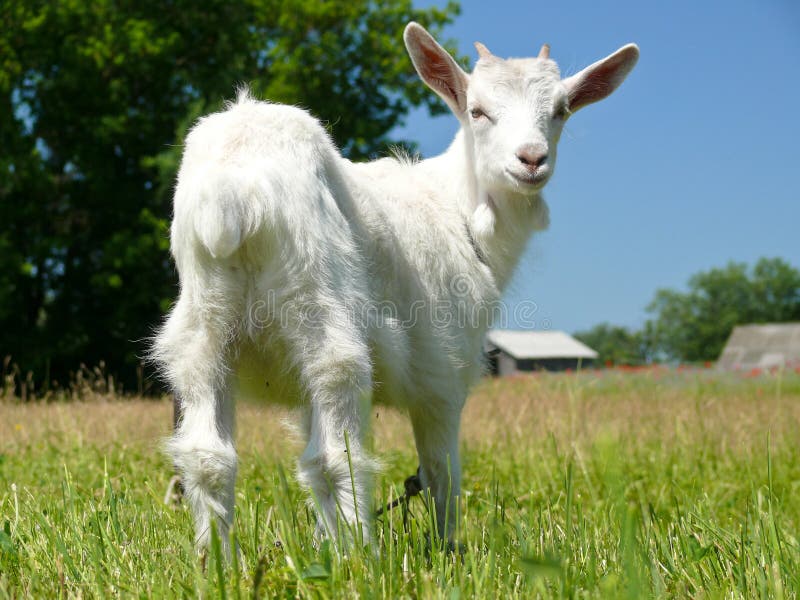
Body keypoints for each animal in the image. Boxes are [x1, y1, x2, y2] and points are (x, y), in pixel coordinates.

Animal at [153, 22, 639, 555]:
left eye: (561, 109)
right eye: (477, 110)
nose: (532, 160)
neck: (456, 208)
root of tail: (233, 190)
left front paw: (324, 543)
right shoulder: (444, 371)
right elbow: (441, 472)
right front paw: (448, 550)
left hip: (204, 320)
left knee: (210, 453)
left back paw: (217, 561)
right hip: (320, 308)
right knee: (336, 449)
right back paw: (360, 557)